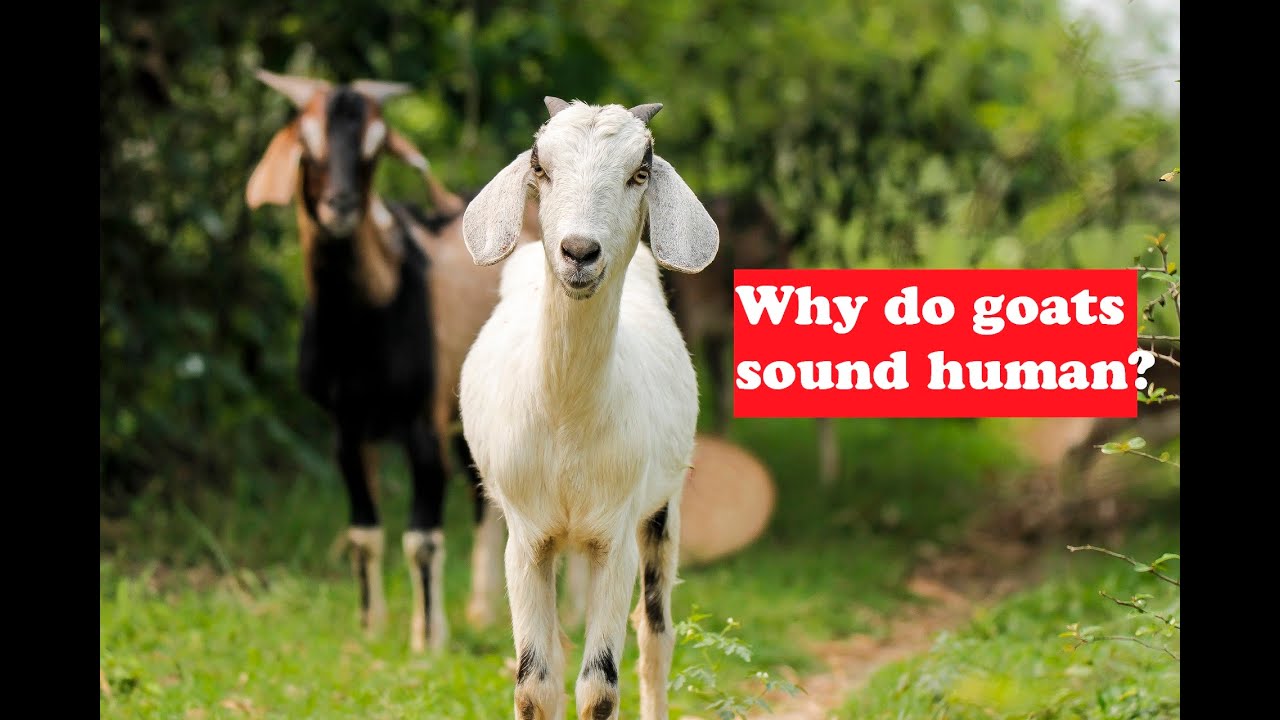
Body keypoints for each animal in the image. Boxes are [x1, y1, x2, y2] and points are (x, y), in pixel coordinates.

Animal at [244, 69, 531, 653]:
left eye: (376, 148)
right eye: (305, 141)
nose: (340, 206)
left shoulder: (422, 421)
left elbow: (421, 538)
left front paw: (427, 639)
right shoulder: (346, 427)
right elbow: (363, 533)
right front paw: (370, 625)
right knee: (488, 495)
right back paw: (483, 612)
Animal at [459, 97, 719, 720]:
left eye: (640, 172)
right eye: (540, 165)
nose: (579, 252)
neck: (566, 419)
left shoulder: (614, 535)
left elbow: (600, 685)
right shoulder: (527, 538)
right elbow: (535, 683)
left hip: (663, 509)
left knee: (656, 635)